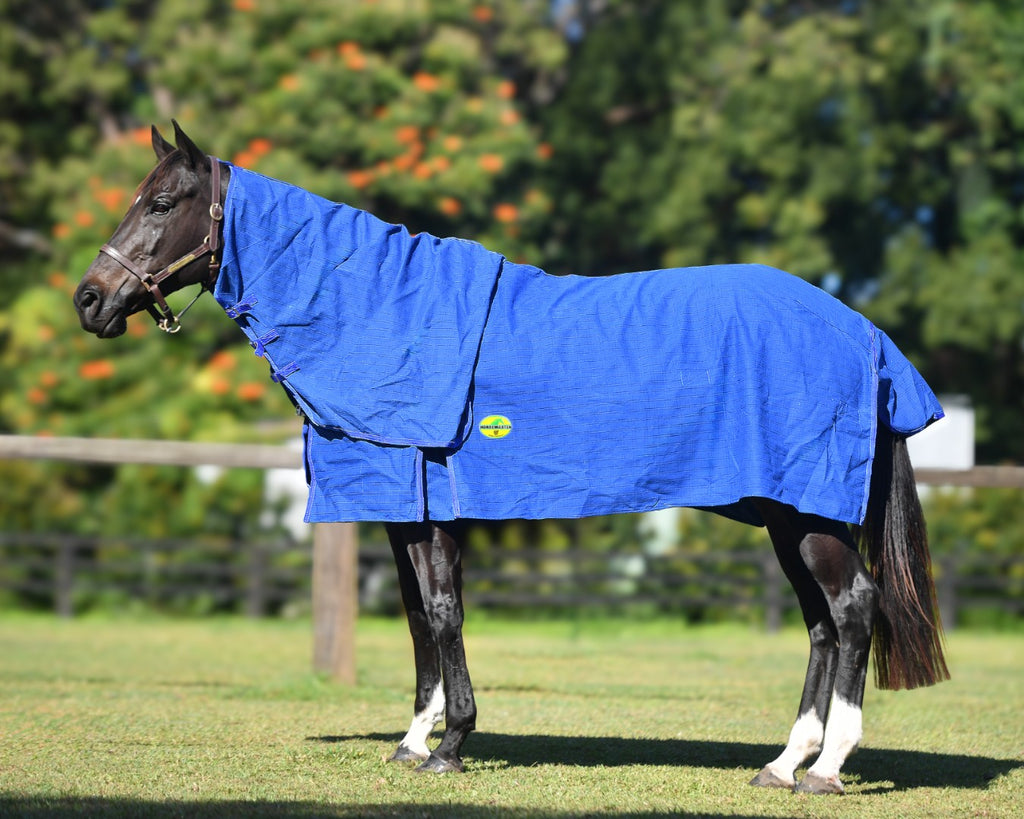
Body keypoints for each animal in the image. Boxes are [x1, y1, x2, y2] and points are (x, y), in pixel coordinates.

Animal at [74, 121, 949, 795]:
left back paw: (826, 768)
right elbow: (418, 616)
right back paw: (783, 761)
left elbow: (443, 612)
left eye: (161, 203)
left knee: (853, 607)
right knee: (821, 623)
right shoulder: (405, 506)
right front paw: (415, 739)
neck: (376, 311)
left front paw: (452, 745)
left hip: (808, 515)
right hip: (786, 517)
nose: (90, 300)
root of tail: (867, 335)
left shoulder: (429, 500)